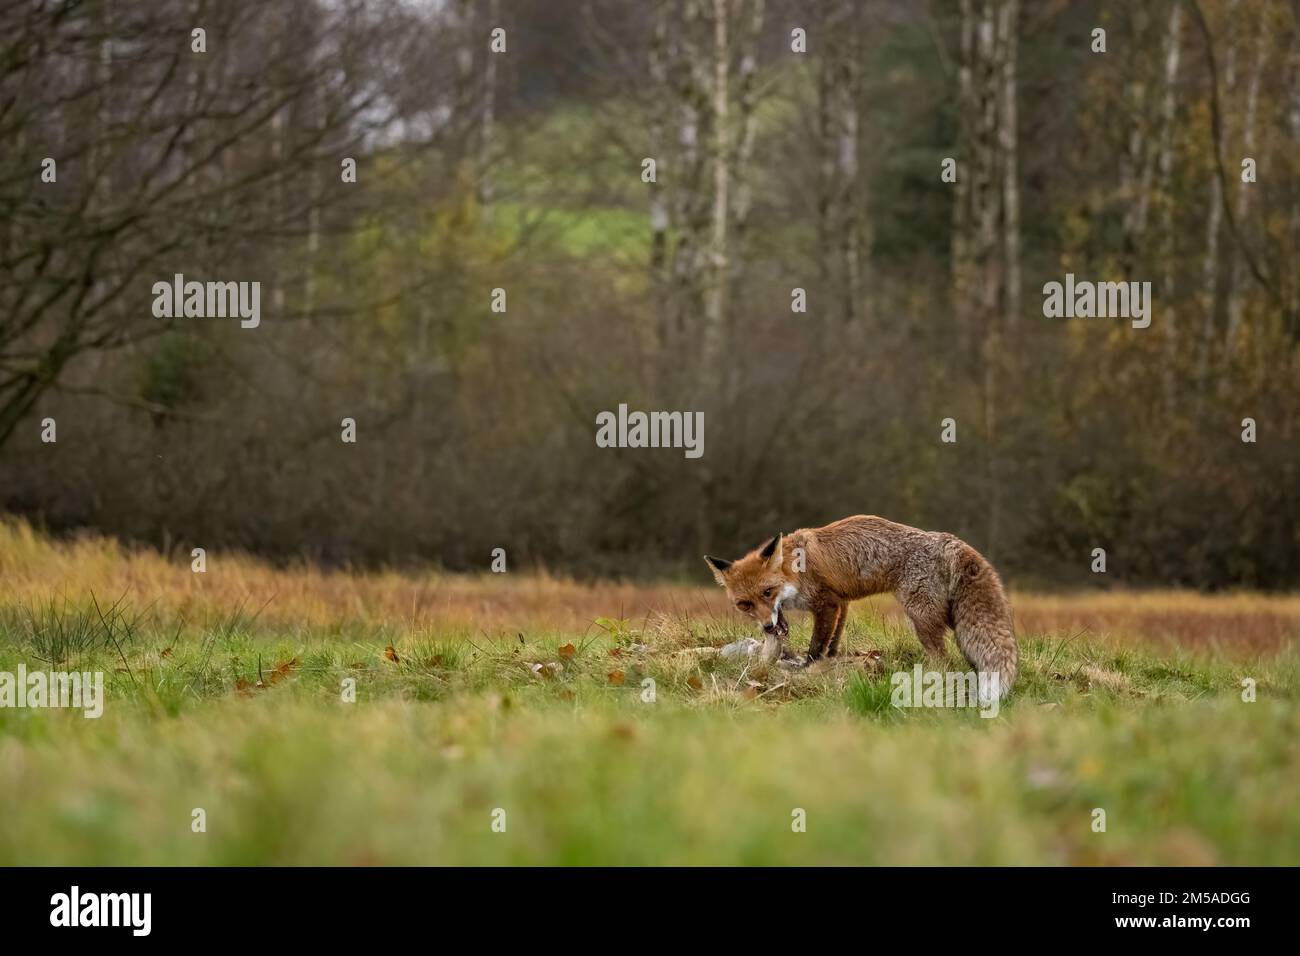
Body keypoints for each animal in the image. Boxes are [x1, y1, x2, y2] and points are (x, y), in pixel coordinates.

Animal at [704, 515, 1018, 697]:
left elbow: (816, 646)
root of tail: (946, 539)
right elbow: (833, 642)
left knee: (943, 660)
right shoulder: (841, 603)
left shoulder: (827, 603)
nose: (768, 626)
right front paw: (830, 662)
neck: (796, 568)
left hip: (920, 617)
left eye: (768, 592)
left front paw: (808, 668)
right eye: (745, 604)